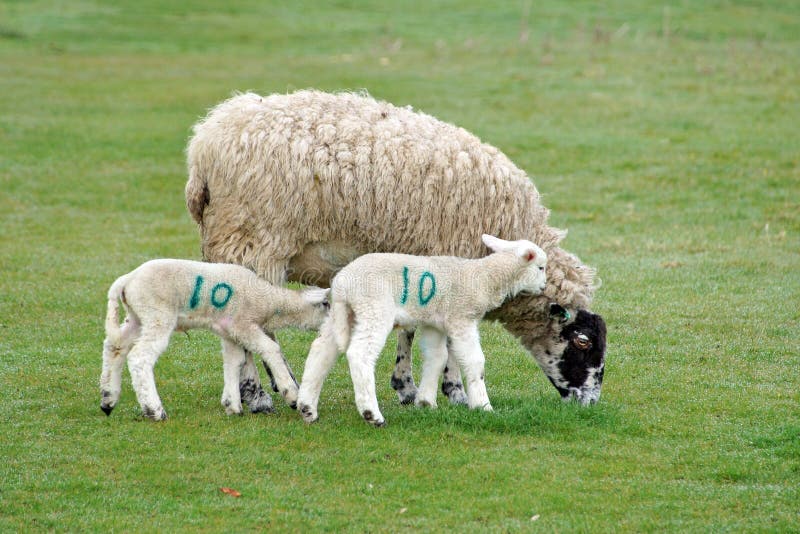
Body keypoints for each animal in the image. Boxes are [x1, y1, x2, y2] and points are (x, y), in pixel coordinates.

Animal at [99, 259, 329, 420]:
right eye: (327, 304)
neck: (271, 302)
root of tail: (127, 279)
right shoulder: (243, 325)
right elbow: (270, 348)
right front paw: (291, 394)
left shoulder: (229, 331)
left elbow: (235, 362)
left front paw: (232, 405)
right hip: (157, 314)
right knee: (139, 357)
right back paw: (154, 410)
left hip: (137, 317)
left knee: (114, 347)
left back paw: (108, 399)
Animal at [297, 234, 548, 426]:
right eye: (541, 267)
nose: (545, 287)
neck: (484, 277)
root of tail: (341, 284)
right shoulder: (461, 318)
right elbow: (475, 361)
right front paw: (483, 405)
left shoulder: (434, 323)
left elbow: (437, 357)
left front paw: (426, 402)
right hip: (373, 308)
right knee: (360, 354)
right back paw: (372, 414)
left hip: (343, 314)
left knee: (321, 349)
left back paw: (307, 408)